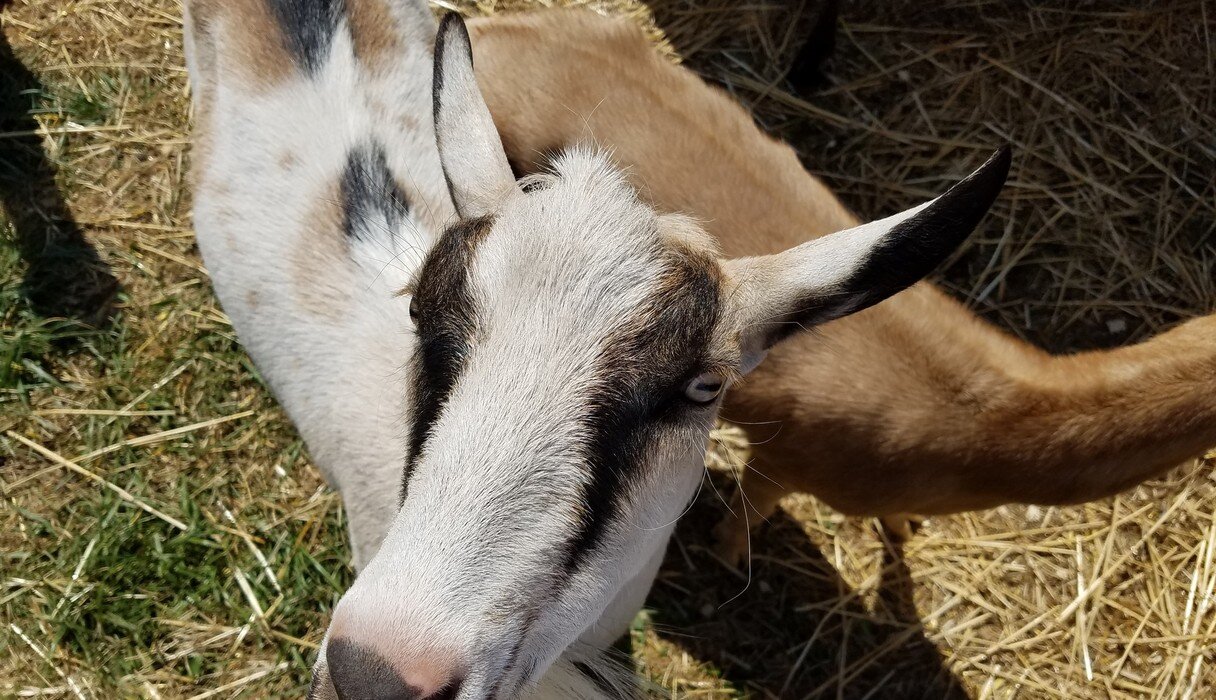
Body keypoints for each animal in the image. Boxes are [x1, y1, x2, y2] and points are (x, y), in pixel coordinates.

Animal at [466, 10, 1216, 561]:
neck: (976, 418)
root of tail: (479, 31)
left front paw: (903, 529)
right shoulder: (787, 459)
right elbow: (754, 508)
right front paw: (728, 552)